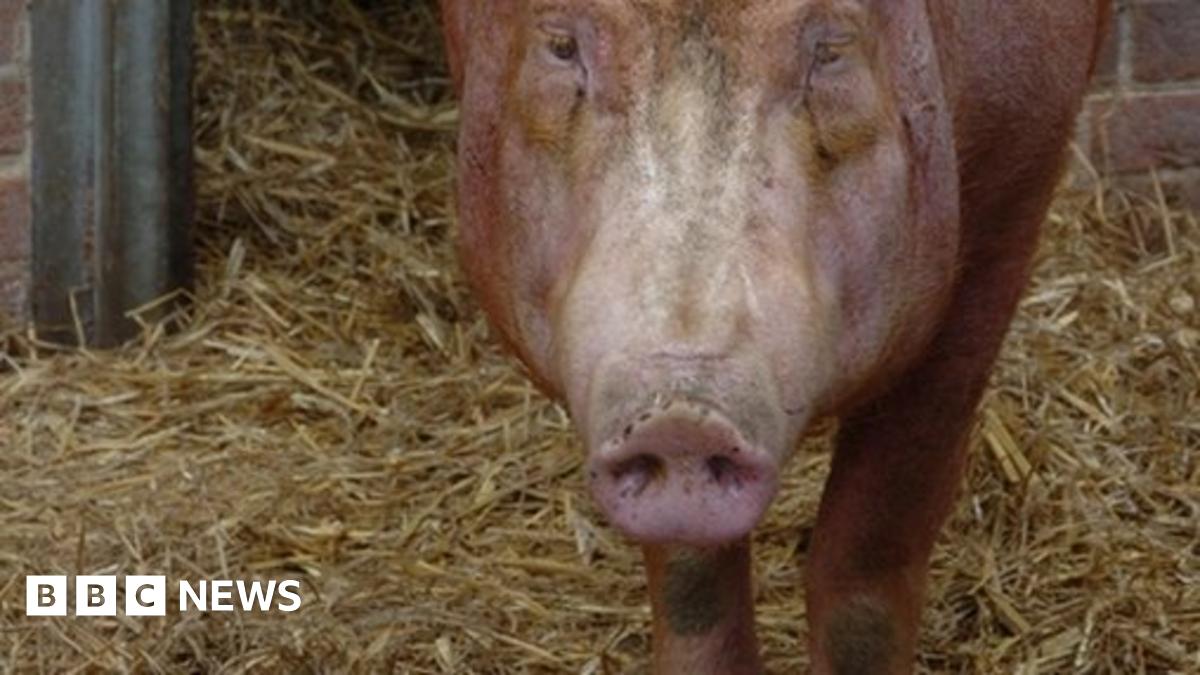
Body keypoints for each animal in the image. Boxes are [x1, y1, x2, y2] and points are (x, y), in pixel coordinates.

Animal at [438, 1, 1109, 673]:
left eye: (832, 48)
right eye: (559, 44)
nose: (682, 417)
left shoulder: (1015, 187)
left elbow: (866, 554)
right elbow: (692, 586)